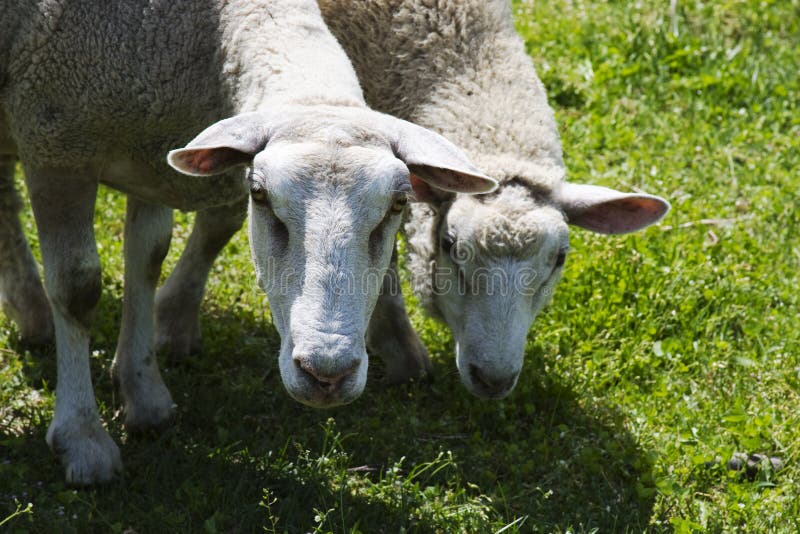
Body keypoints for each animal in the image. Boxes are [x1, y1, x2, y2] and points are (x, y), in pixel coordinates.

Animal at [0, 0, 496, 485]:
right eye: (258, 194)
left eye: (398, 204)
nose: (327, 375)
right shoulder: (57, 148)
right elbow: (77, 289)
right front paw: (82, 438)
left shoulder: (151, 165)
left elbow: (147, 259)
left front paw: (143, 393)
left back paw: (31, 310)